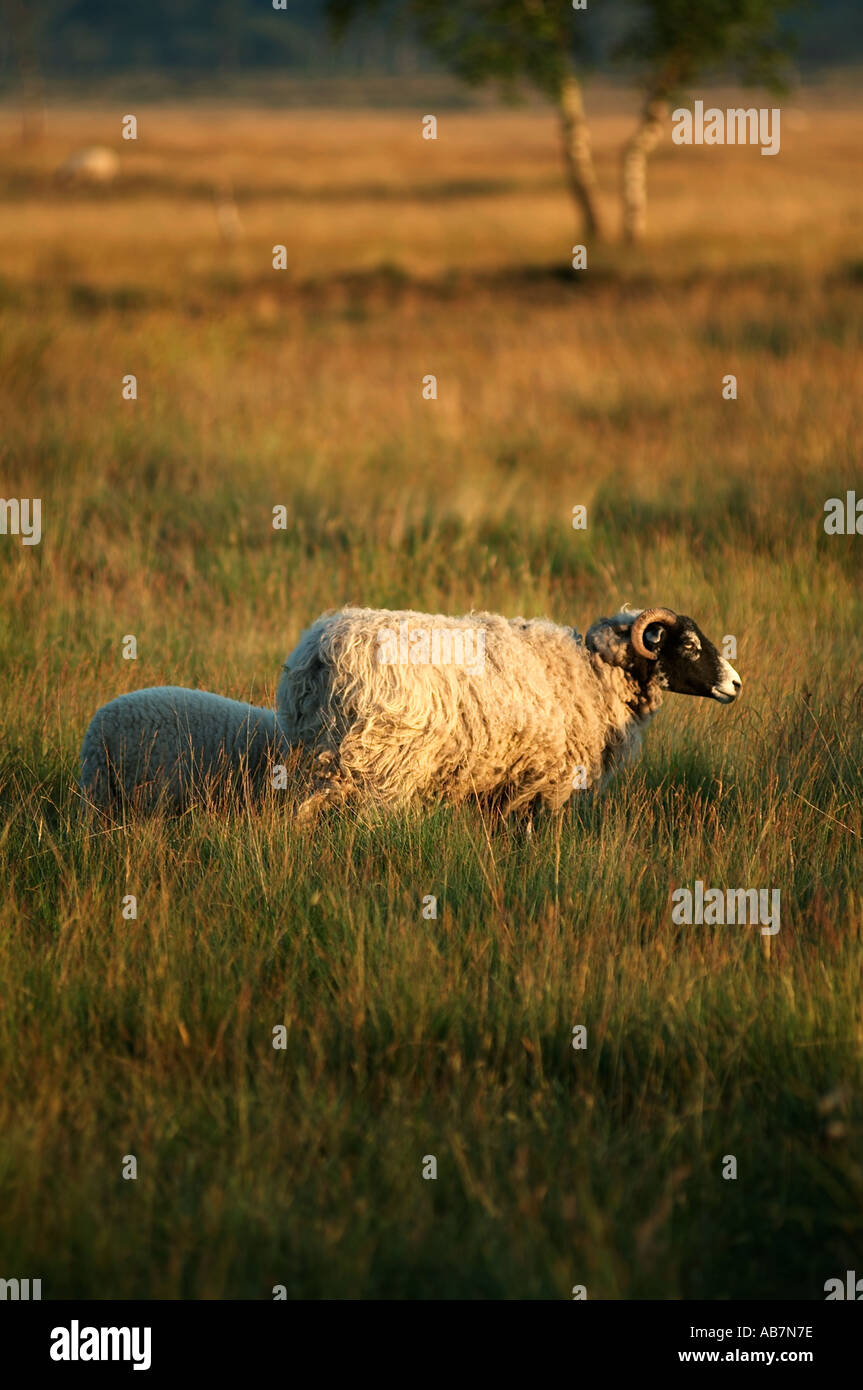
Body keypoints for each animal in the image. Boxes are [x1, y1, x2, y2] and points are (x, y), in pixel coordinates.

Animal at [276, 605, 742, 818]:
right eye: (689, 646)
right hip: (378, 763)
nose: (737, 685)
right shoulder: (548, 779)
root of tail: (320, 652)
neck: (593, 673)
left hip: (316, 751)